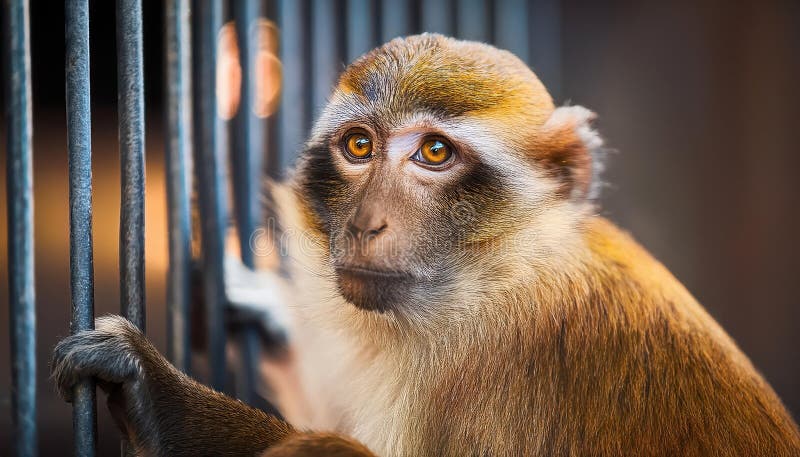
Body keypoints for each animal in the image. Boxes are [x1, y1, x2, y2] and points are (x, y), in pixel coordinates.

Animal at [52, 34, 800, 456]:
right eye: (359, 146)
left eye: (434, 152)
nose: (366, 223)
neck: (498, 269)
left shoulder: (495, 362)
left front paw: (157, 394)